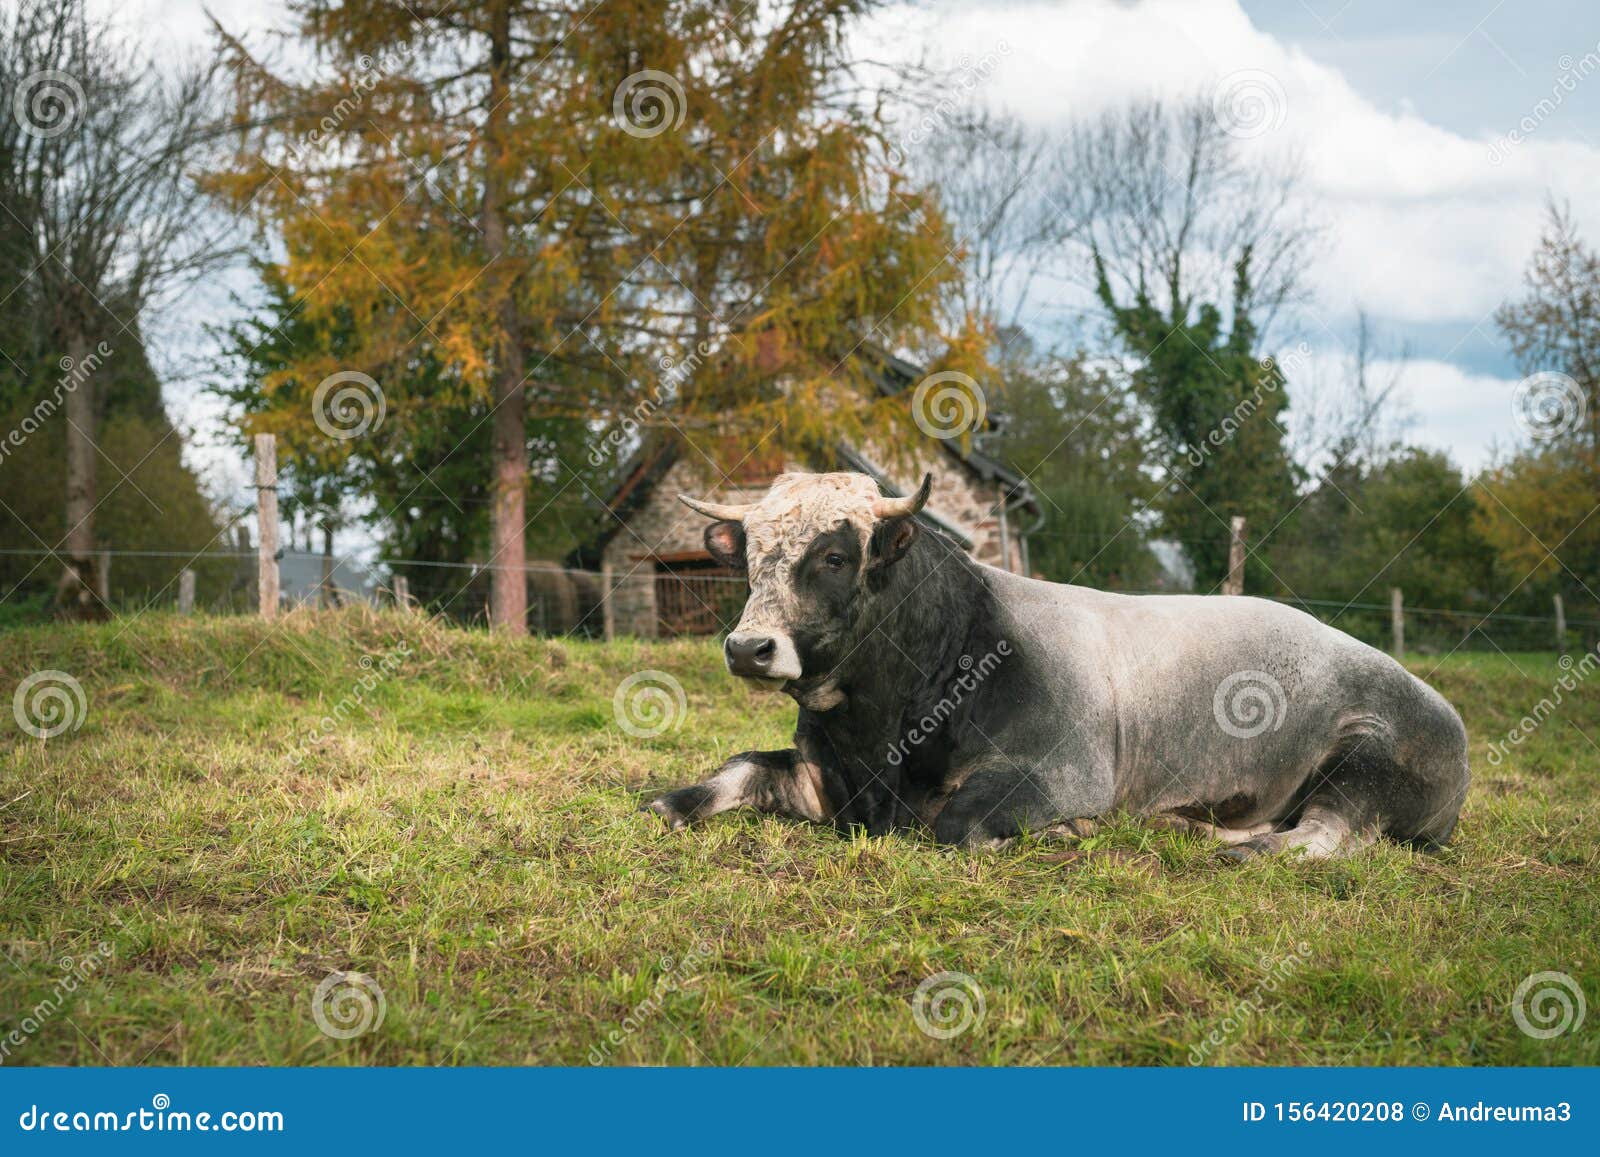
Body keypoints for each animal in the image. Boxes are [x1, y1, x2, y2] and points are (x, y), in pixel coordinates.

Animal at [644, 471, 1469, 858]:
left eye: (836, 555)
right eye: (749, 556)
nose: (748, 648)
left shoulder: (1063, 771)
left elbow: (960, 825)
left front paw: (1069, 832)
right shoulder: (826, 781)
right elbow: (730, 771)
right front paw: (670, 801)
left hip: (1364, 760)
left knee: (1322, 837)